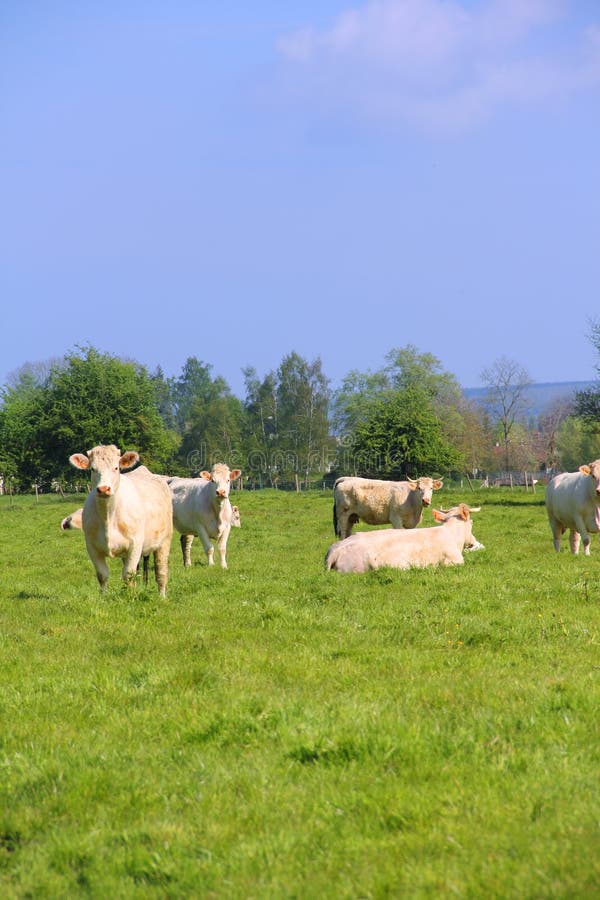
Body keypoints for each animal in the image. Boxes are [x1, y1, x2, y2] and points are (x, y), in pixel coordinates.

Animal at [68, 445, 173, 595]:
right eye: (92, 469)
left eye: (116, 467)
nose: (103, 489)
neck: (108, 515)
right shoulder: (92, 547)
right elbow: (103, 575)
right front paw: (105, 596)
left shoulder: (135, 544)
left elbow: (128, 575)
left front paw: (130, 596)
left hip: (165, 540)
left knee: (161, 571)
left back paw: (162, 596)